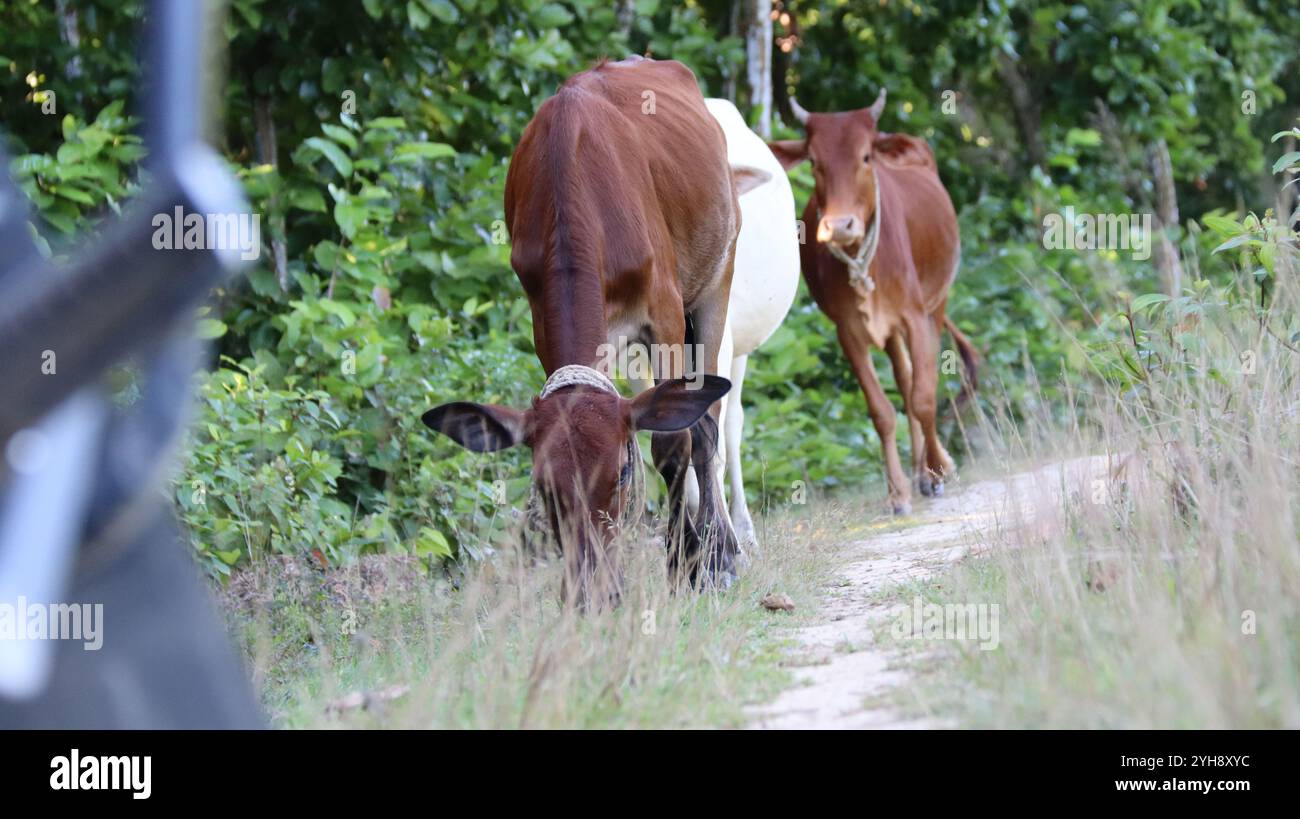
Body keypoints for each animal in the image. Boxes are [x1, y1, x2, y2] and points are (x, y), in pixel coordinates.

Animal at [422, 57, 761, 608]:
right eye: (543, 484)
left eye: (621, 473)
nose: (593, 593)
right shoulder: (541, 317)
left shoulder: (664, 311)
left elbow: (674, 442)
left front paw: (689, 566)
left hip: (717, 280)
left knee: (708, 423)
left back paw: (723, 554)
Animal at [768, 90, 978, 515]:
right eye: (814, 162)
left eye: (866, 157)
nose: (839, 225)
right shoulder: (847, 330)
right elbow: (882, 410)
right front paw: (898, 491)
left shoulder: (915, 317)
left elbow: (924, 399)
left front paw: (938, 468)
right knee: (905, 377)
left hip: (937, 304)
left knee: (917, 384)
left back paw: (931, 470)